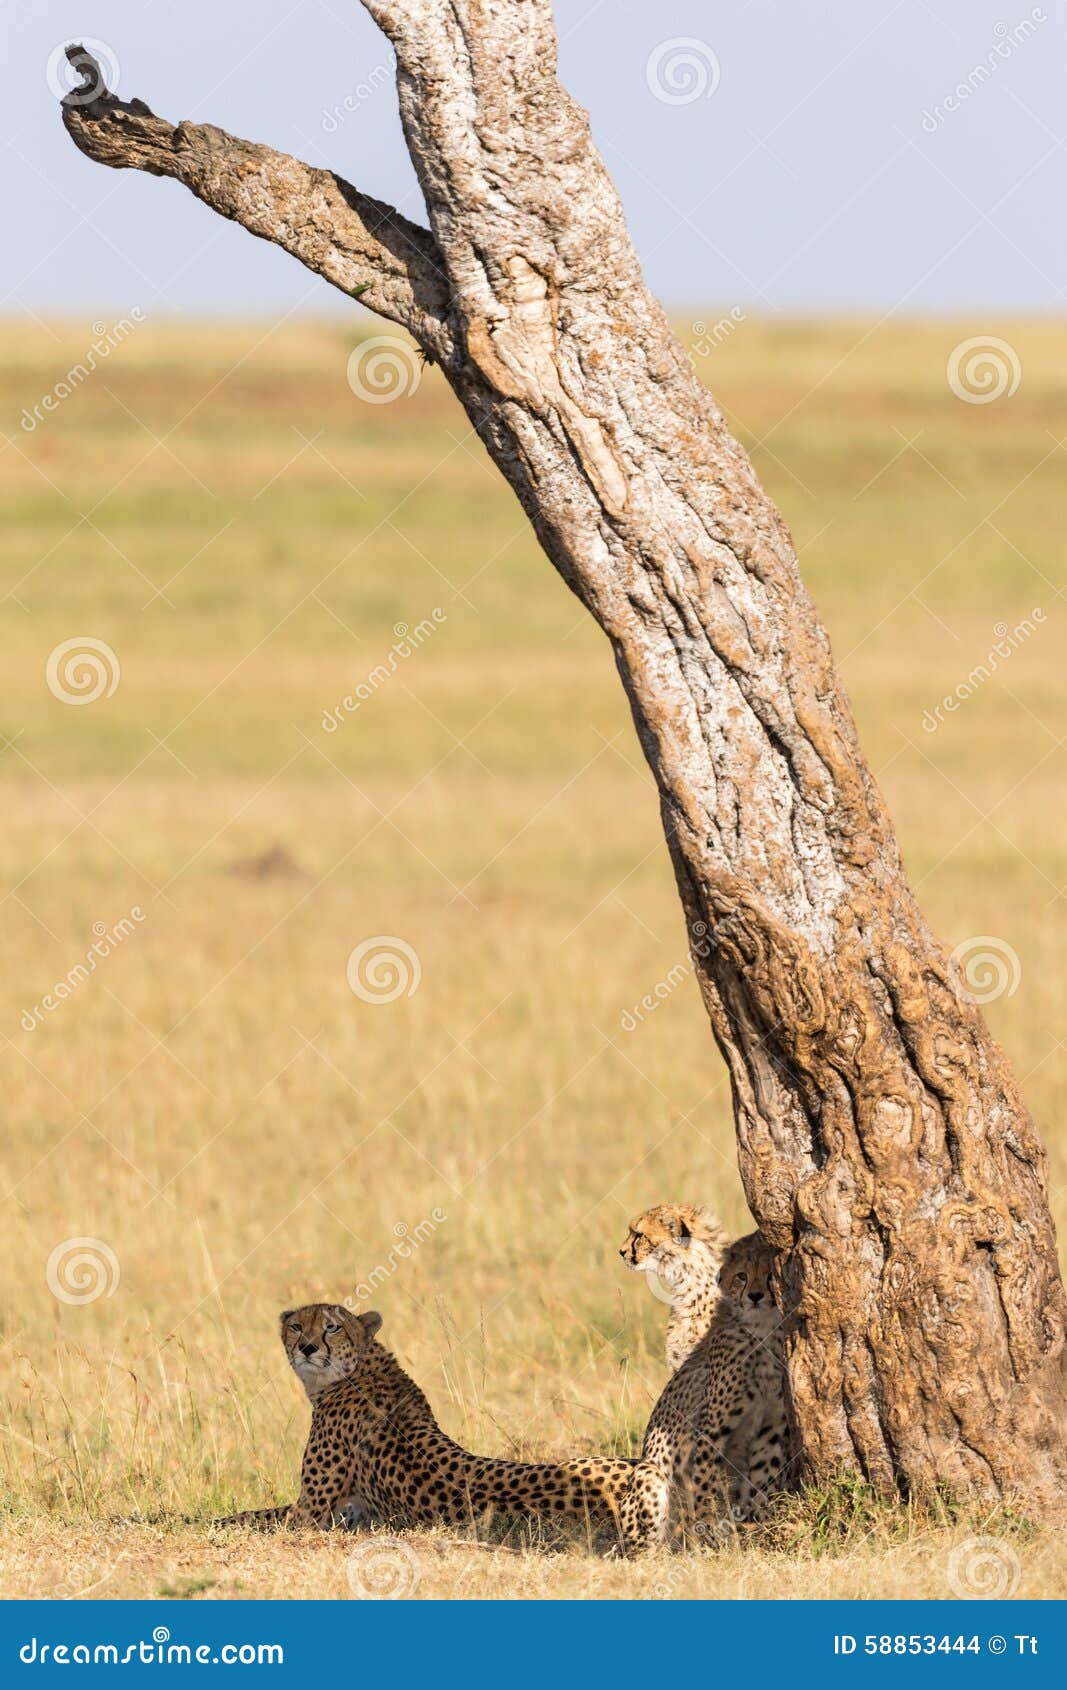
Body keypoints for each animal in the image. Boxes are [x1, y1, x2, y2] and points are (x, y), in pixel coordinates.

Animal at [211, 1304, 636, 1539]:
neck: (356, 1370)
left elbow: (249, 1516)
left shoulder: (309, 1513)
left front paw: (207, 1520)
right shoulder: (346, 1511)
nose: (307, 1347)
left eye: (332, 1326)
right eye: (297, 1326)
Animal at [619, 1233, 794, 1554]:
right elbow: (704, 1481)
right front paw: (707, 1531)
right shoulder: (712, 1426)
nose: (755, 1296)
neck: (762, 1332)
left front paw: (756, 1521)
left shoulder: (772, 1426)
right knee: (645, 1543)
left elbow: (763, 1477)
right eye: (742, 1276)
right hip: (649, 1473)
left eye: (770, 1276)